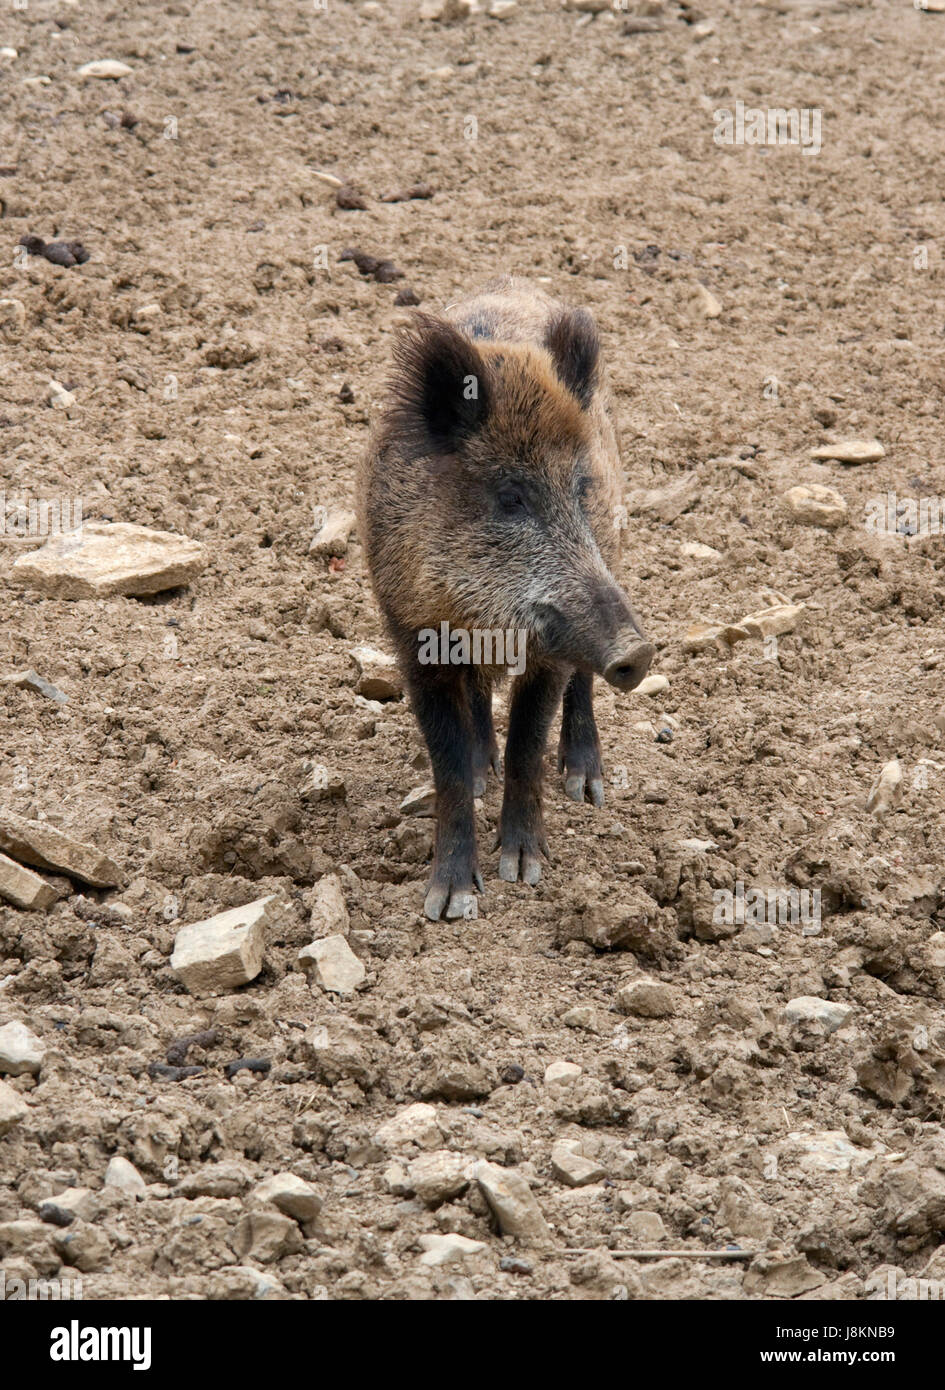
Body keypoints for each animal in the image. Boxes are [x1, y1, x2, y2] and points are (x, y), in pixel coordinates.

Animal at [358, 276, 654, 921]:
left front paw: (523, 870)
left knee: (579, 687)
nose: (639, 652)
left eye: (581, 487)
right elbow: (445, 765)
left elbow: (527, 743)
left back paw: (585, 786)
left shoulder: (547, 651)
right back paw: (481, 770)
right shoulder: (413, 635)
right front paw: (448, 903)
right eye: (511, 497)